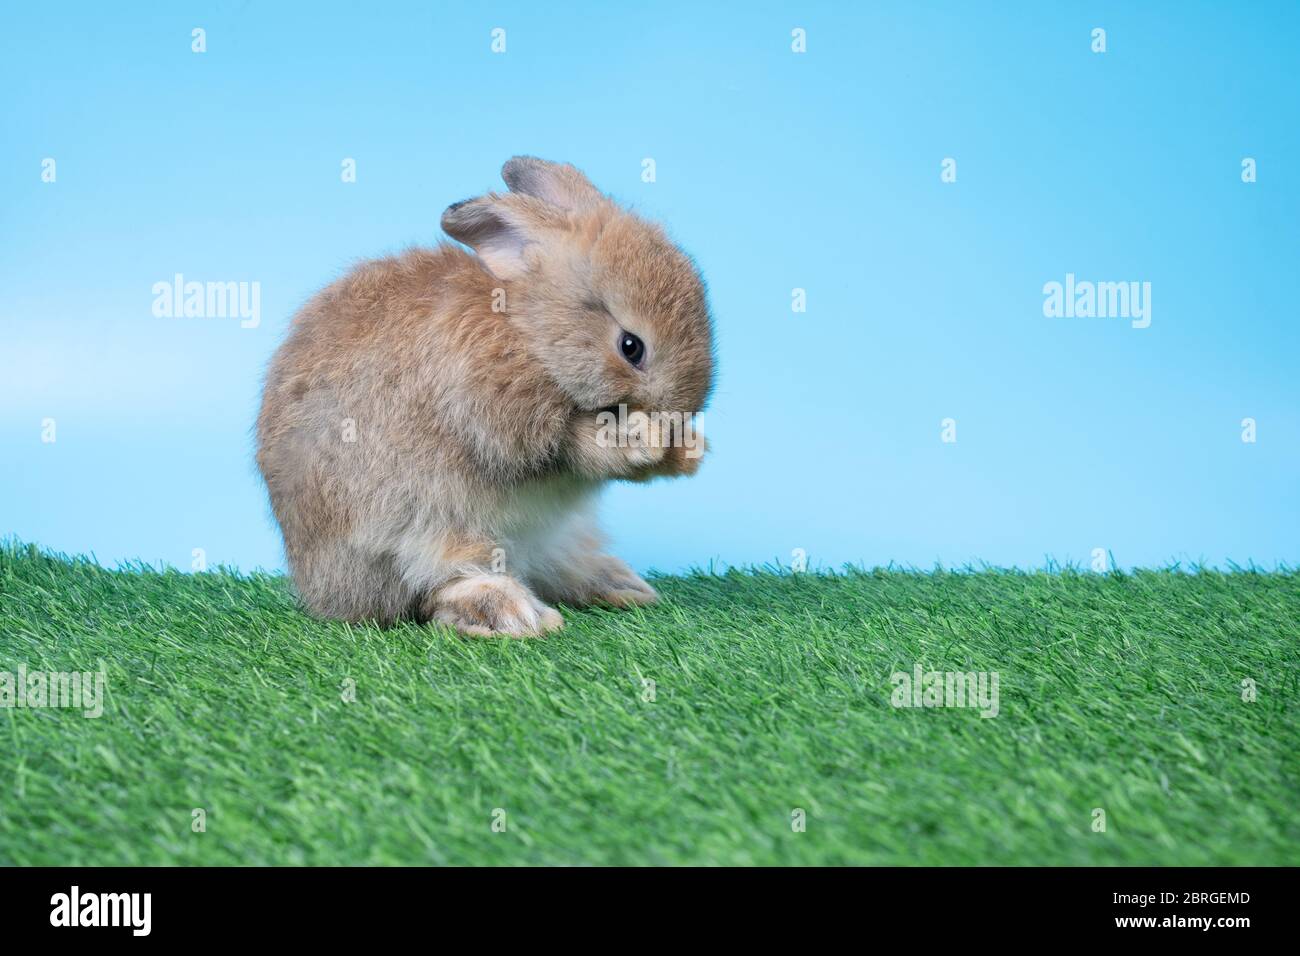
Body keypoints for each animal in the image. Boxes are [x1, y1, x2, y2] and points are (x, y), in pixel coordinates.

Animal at [255, 156, 714, 636]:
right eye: (631, 347)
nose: (680, 413)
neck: (530, 332)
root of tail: (319, 589)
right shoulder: (502, 417)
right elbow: (575, 447)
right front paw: (641, 437)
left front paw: (689, 451)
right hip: (427, 536)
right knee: (439, 587)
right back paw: (514, 614)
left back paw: (620, 586)